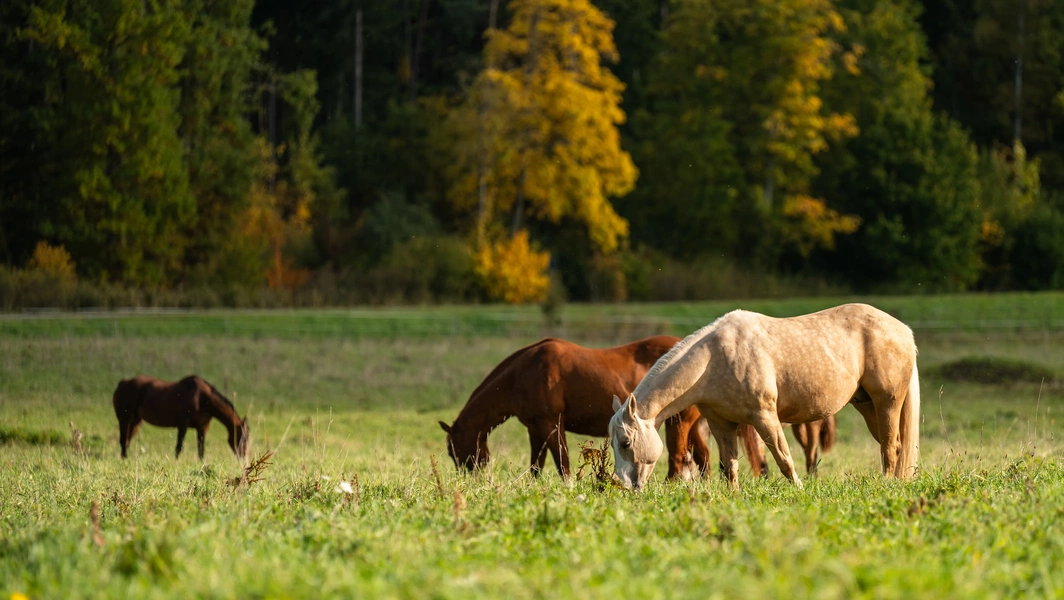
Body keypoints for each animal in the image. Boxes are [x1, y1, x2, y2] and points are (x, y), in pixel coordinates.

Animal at [112, 375, 249, 460]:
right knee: (123, 440)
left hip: (135, 422)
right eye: (243, 437)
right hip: (124, 419)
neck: (202, 398)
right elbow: (179, 446)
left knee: (127, 440)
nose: (243, 456)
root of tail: (122, 383)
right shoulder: (183, 424)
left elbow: (201, 448)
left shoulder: (202, 427)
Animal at [438, 336, 711, 479]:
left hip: (679, 423)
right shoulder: (534, 429)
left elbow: (563, 463)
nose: (470, 479)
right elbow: (536, 466)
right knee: (703, 458)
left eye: (453, 451)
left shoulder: (551, 423)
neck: (523, 373)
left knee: (678, 458)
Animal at [609, 303, 920, 490]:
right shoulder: (722, 424)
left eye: (625, 443)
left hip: (887, 402)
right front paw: (733, 496)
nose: (623, 485)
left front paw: (799, 490)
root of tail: (903, 330)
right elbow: (730, 466)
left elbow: (784, 459)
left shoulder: (765, 416)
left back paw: (887, 485)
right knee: (894, 444)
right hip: (867, 406)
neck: (714, 358)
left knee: (891, 447)